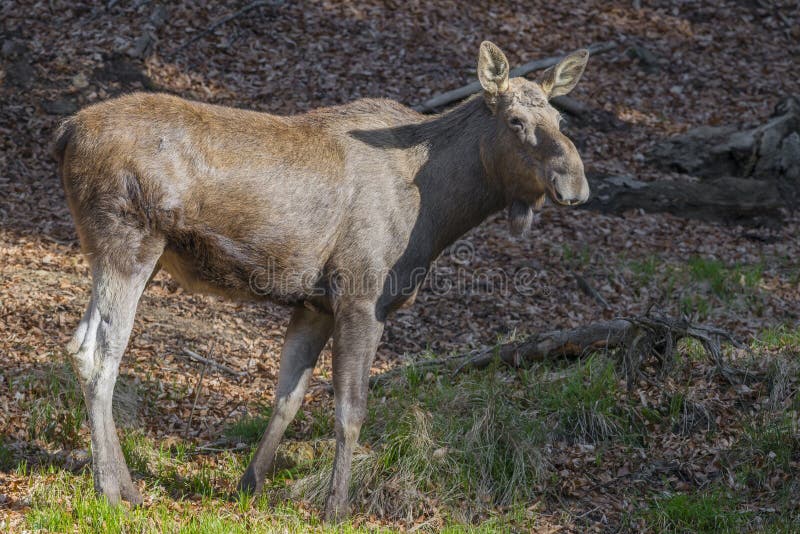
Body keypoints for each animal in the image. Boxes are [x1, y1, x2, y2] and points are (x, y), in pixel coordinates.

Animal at [52, 41, 590, 520]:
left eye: (560, 120)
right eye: (516, 122)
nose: (575, 185)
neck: (441, 210)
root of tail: (65, 132)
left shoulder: (314, 305)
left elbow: (287, 397)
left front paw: (250, 485)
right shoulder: (362, 297)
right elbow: (350, 411)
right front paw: (336, 507)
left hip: (129, 256)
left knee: (82, 346)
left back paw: (125, 483)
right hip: (127, 245)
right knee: (98, 355)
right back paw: (112, 492)